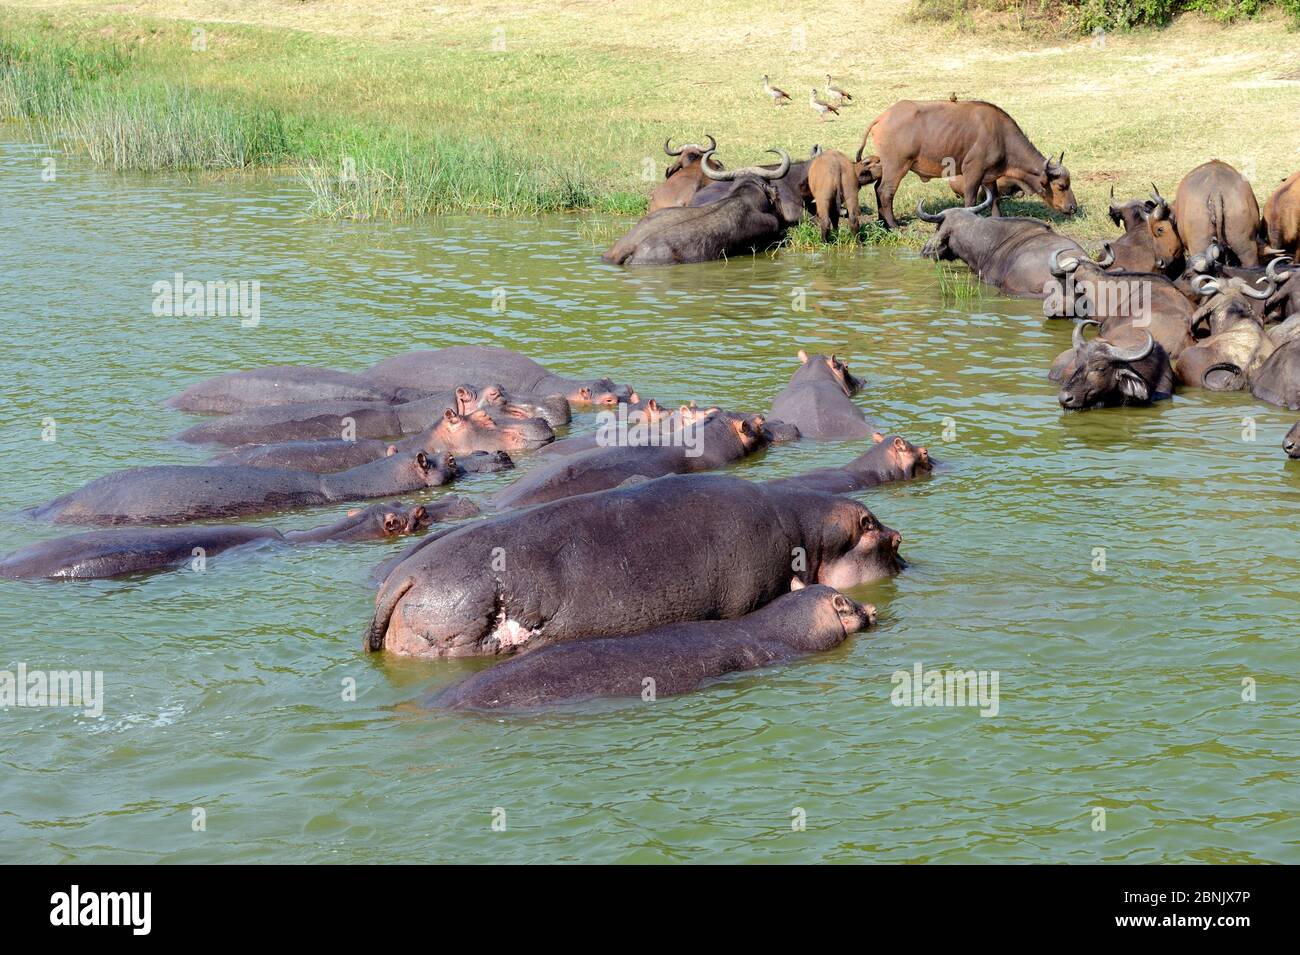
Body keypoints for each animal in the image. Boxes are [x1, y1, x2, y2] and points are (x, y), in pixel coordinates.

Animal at [858, 98, 1077, 228]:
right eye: (1061, 186)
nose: (1073, 207)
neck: (1001, 136)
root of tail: (883, 117)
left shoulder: (990, 176)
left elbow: (995, 199)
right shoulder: (973, 172)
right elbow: (971, 201)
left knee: (877, 188)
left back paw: (883, 223)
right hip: (897, 166)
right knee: (885, 191)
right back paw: (894, 225)